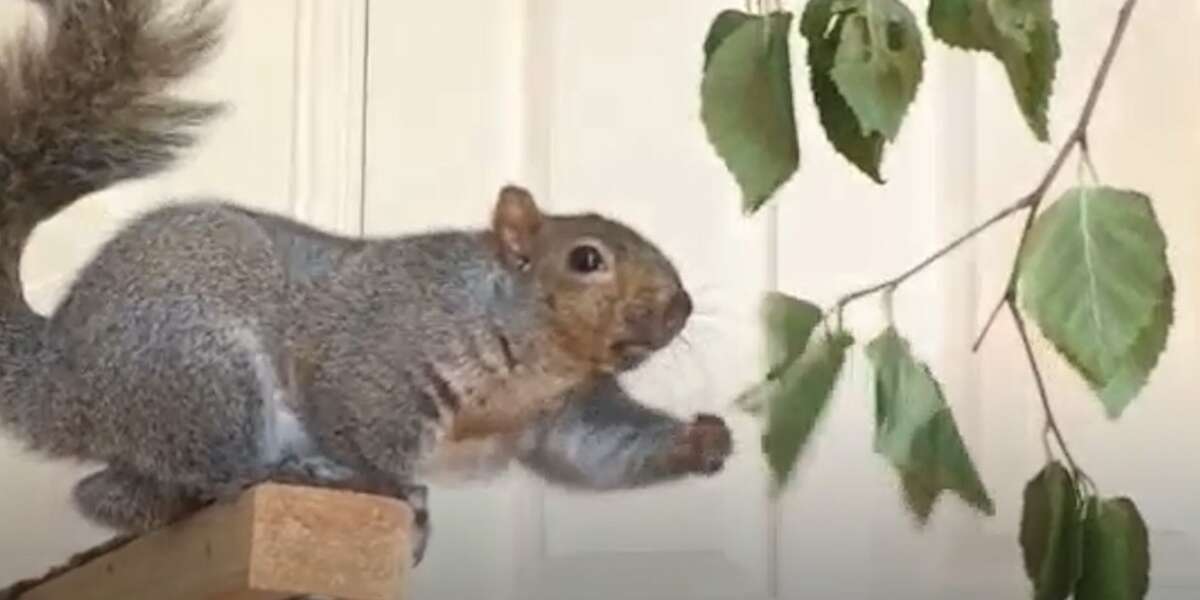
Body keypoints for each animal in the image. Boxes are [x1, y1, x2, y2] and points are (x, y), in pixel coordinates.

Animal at [0, 0, 734, 567]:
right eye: (585, 260)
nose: (680, 306)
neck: (531, 368)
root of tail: (58, 374)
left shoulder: (562, 417)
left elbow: (601, 452)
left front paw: (704, 441)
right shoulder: (379, 359)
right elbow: (359, 428)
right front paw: (400, 493)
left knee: (104, 490)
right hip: (198, 371)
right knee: (216, 464)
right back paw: (291, 471)